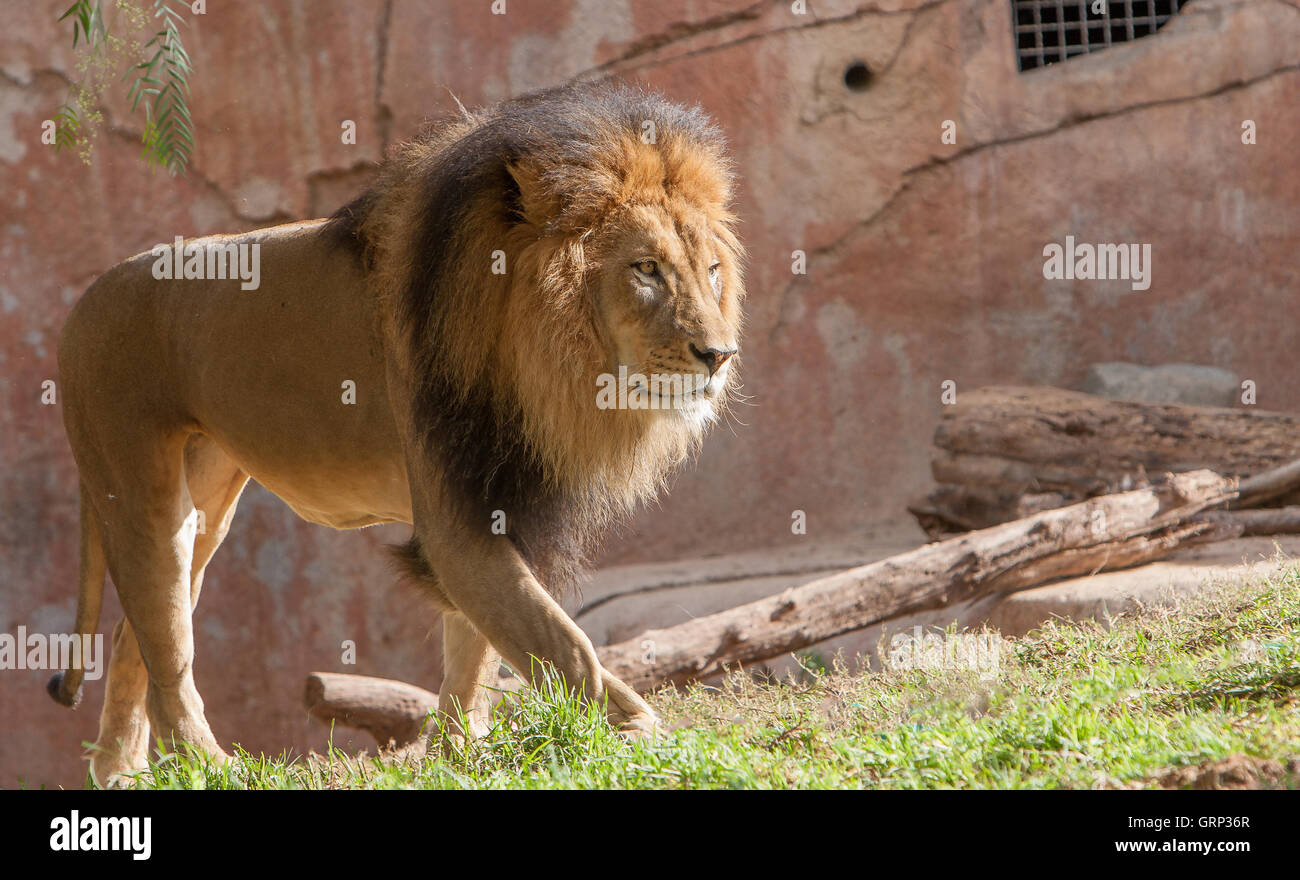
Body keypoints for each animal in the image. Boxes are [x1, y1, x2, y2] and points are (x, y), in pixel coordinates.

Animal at [48, 80, 745, 787]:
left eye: (712, 270)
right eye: (646, 269)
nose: (719, 355)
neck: (536, 356)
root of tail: (85, 299)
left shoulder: (491, 500)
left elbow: (477, 652)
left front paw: (456, 755)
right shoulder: (454, 517)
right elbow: (565, 645)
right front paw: (641, 738)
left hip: (206, 500)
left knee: (135, 638)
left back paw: (121, 772)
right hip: (139, 493)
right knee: (166, 645)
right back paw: (213, 766)